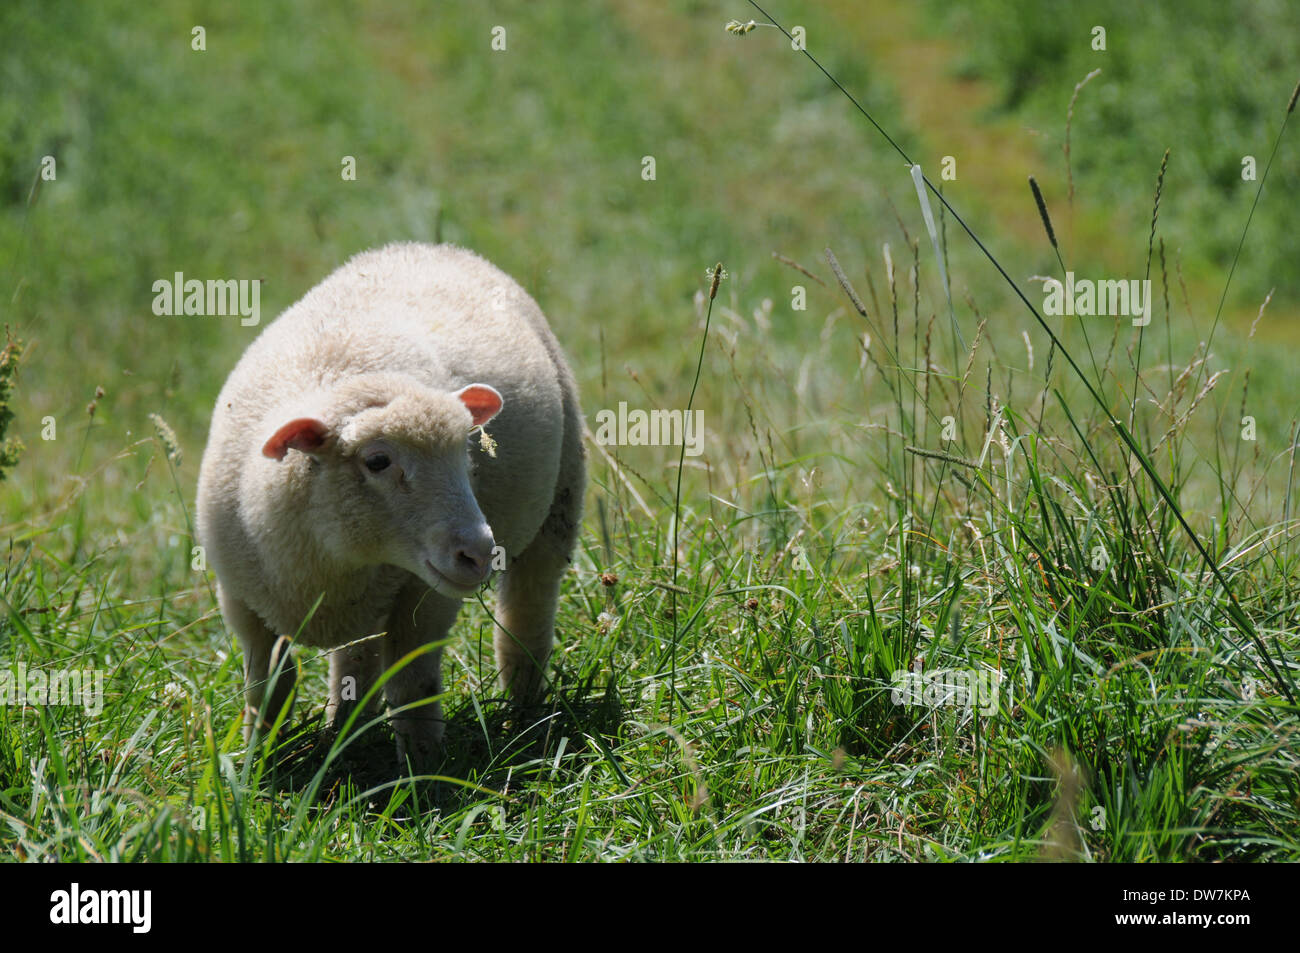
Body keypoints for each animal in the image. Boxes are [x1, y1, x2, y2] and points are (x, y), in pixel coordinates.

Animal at [196, 242, 586, 769]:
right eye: (377, 461)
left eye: (466, 451)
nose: (479, 552)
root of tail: (431, 248)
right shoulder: (242, 602)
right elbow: (269, 690)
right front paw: (259, 760)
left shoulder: (424, 595)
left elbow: (412, 686)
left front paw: (425, 771)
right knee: (356, 662)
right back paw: (345, 736)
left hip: (559, 504)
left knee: (525, 619)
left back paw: (523, 716)